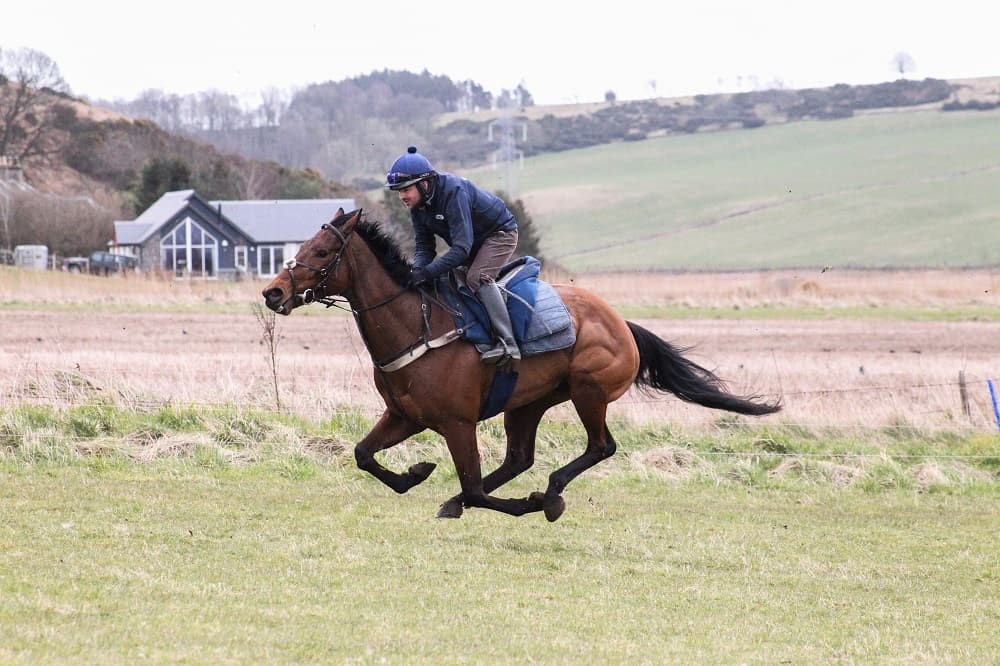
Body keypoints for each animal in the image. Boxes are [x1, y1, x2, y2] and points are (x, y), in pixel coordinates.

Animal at [262, 209, 781, 522]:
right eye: (300, 247)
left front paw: (524, 504)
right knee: (519, 457)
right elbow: (363, 454)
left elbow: (474, 488)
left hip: (589, 391)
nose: (272, 292)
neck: (417, 324)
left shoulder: (457, 422)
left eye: (321, 252)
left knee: (601, 446)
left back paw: (548, 494)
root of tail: (622, 324)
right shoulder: (405, 415)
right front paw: (416, 474)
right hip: (526, 402)